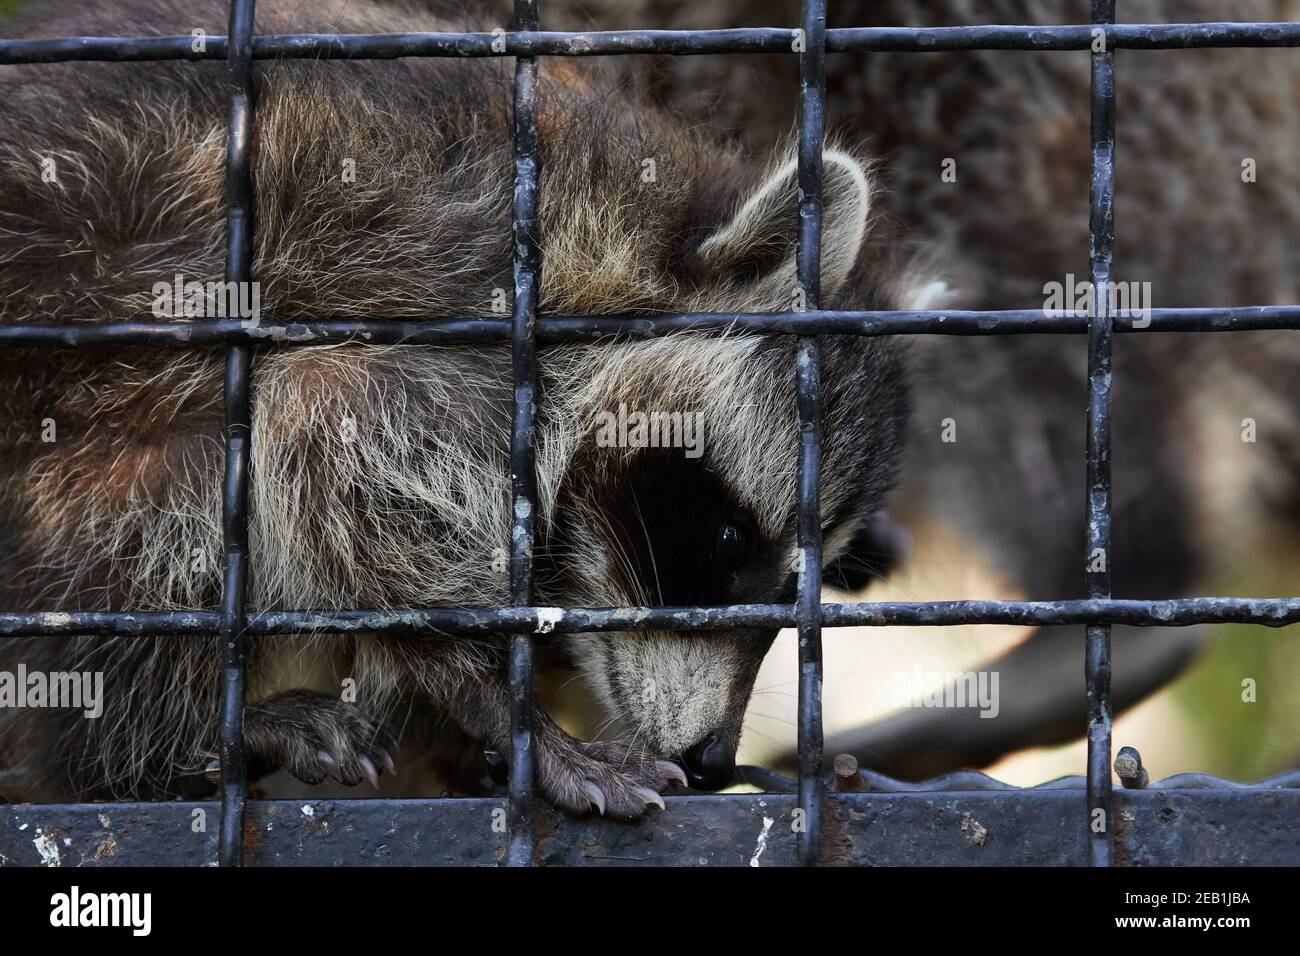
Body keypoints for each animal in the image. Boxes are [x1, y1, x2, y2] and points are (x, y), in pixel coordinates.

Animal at [0, 0, 915, 816]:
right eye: (729, 540)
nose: (714, 758)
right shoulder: (429, 266)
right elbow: (324, 423)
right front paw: (498, 703)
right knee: (157, 501)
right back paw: (154, 750)